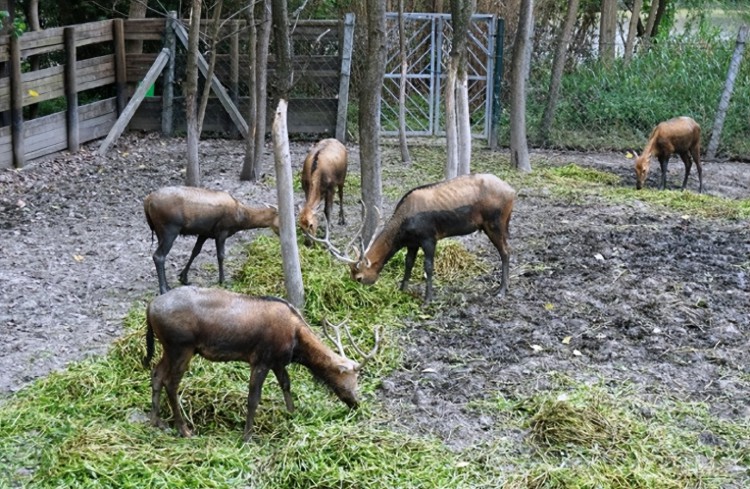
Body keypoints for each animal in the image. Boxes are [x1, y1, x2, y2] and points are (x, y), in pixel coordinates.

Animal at [142, 186, 280, 294]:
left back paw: (168, 285)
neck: (240, 219)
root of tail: (147, 201)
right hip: (170, 228)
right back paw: (164, 289)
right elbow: (221, 255)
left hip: (160, 231)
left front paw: (183, 277)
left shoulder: (205, 233)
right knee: (159, 256)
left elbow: (195, 251)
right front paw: (223, 280)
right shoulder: (222, 231)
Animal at [142, 286, 382, 442]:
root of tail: (150, 306)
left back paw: (156, 421)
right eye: (351, 378)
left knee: (156, 373)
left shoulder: (277, 362)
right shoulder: (261, 359)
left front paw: (292, 414)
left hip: (169, 348)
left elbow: (286, 384)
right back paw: (184, 430)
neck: (296, 345)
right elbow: (253, 398)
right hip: (181, 346)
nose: (356, 403)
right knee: (171, 383)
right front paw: (248, 437)